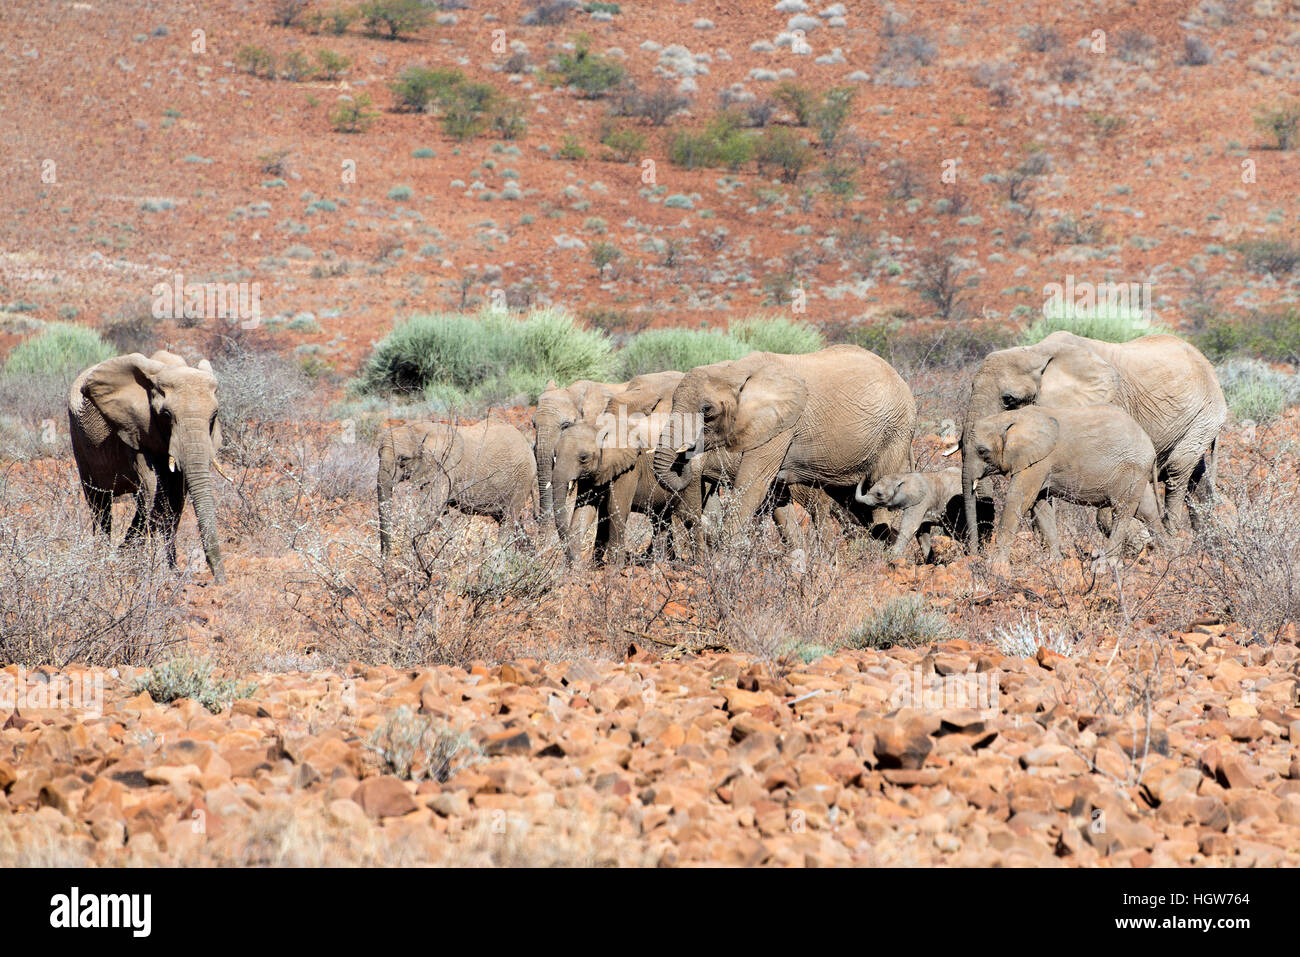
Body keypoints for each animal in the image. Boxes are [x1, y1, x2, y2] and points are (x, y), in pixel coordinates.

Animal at [68, 350, 225, 581]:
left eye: (214, 416)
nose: (220, 578)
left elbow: (175, 497)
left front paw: (171, 572)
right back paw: (101, 560)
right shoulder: (136, 428)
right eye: (166, 415)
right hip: (79, 441)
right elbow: (154, 490)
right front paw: (140, 567)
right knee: (99, 503)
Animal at [377, 420, 536, 557]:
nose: (386, 556)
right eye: (378, 455)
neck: (418, 430)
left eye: (403, 459)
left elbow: (430, 509)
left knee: (509, 518)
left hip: (522, 479)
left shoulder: (443, 467)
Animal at [651, 345, 917, 544]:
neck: (734, 369)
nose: (686, 453)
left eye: (707, 410)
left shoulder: (781, 425)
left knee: (879, 494)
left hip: (895, 432)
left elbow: (753, 486)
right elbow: (775, 498)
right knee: (854, 503)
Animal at [855, 467, 993, 563]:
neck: (903, 475)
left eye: (879, 494)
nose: (864, 475)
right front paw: (929, 562)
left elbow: (910, 527)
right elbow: (921, 533)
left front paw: (892, 558)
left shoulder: (920, 502)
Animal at [966, 405, 1163, 564]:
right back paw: (1166, 556)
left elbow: (1018, 500)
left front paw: (996, 565)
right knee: (1147, 511)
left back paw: (1108, 563)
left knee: (1121, 511)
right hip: (1137, 473)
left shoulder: (1038, 461)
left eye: (982, 451)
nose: (974, 556)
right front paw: (1054, 562)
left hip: (1131, 468)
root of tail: (1150, 445)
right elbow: (1041, 506)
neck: (1009, 417)